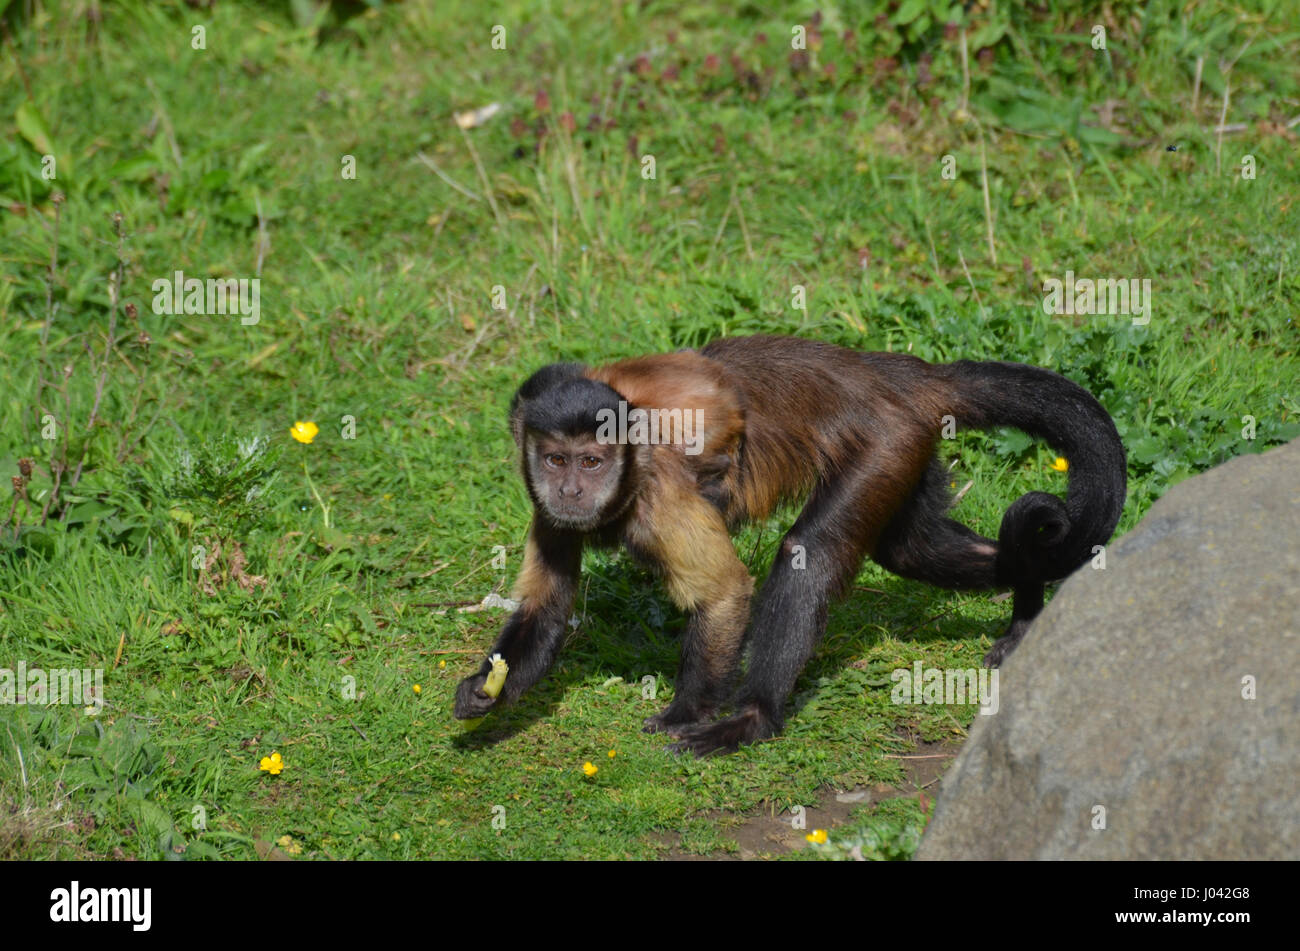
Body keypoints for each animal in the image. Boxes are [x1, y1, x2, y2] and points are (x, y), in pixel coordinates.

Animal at [453, 335, 1126, 755]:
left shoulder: (658, 492)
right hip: (910, 448)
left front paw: (687, 713)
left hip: (884, 438)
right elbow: (547, 608)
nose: (571, 488)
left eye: (591, 462)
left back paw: (755, 718)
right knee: (911, 550)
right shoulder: (546, 508)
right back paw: (1030, 604)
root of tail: (898, 372)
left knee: (813, 548)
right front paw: (487, 689)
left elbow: (725, 593)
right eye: (555, 459)